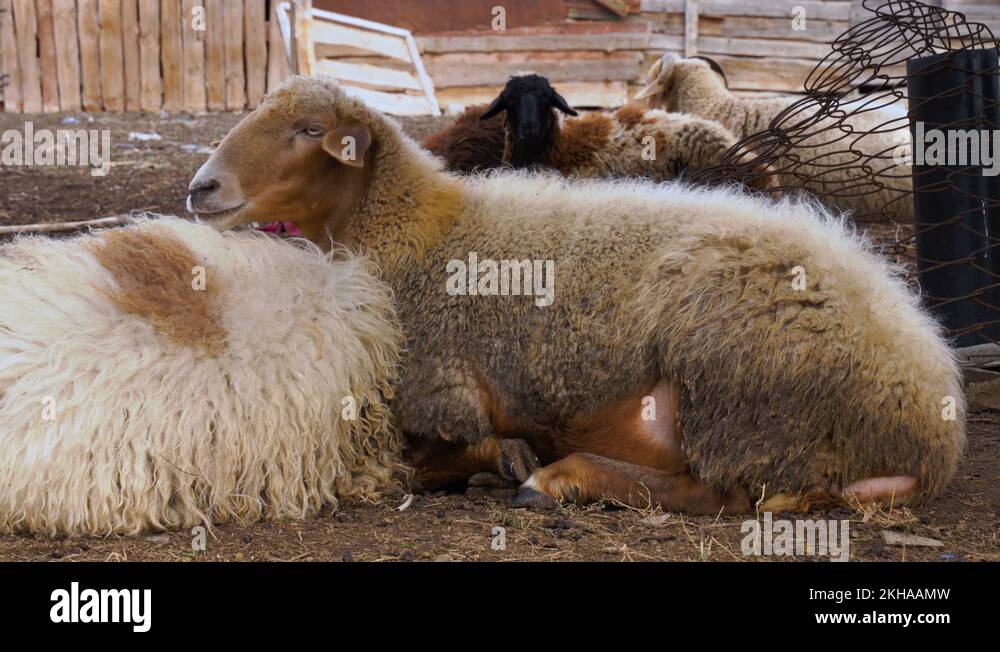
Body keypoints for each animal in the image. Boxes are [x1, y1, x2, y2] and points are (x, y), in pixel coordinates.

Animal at [187, 75, 964, 515]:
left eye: (311, 131)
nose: (201, 188)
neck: (412, 230)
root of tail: (934, 420)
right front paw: (502, 461)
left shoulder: (435, 395)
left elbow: (434, 454)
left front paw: (506, 463)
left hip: (739, 394)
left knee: (722, 493)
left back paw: (561, 479)